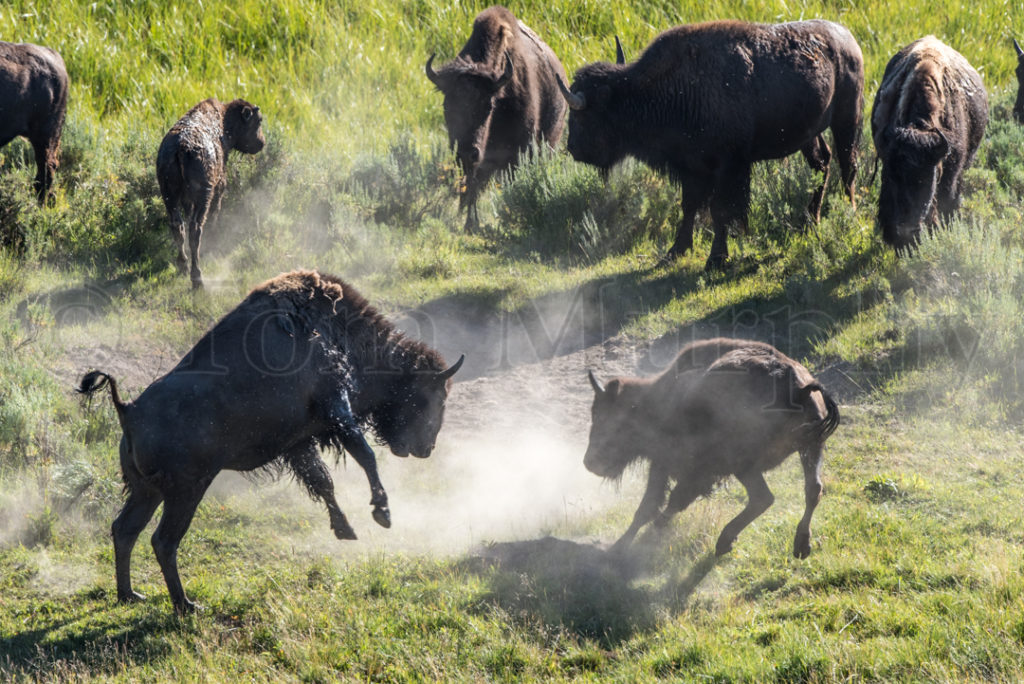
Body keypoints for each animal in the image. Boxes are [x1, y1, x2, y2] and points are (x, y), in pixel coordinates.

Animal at [78, 269, 464, 613]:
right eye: (433, 397)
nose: (426, 448)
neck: (338, 331)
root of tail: (128, 410)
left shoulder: (299, 442)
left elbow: (323, 482)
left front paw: (345, 529)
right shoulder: (336, 408)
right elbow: (364, 455)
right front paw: (381, 513)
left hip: (148, 492)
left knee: (124, 530)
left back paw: (131, 595)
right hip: (186, 491)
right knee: (163, 540)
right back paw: (186, 605)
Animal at [156, 98, 265, 289]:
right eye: (258, 121)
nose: (262, 143)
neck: (224, 121)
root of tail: (181, 147)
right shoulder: (219, 185)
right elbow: (215, 211)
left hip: (169, 195)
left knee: (178, 226)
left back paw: (183, 266)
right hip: (202, 195)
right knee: (195, 229)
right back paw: (197, 278)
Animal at [425, 5, 567, 232]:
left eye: (489, 106)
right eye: (447, 106)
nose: (467, 152)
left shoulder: (520, 152)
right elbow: (471, 184)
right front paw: (469, 223)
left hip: (548, 144)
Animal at [557, 20, 864, 270]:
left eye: (583, 115)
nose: (573, 147)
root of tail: (849, 39)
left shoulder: (727, 166)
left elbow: (720, 210)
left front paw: (715, 259)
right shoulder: (692, 168)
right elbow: (689, 205)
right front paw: (675, 251)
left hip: (847, 120)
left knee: (847, 168)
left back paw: (847, 214)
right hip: (810, 134)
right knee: (822, 163)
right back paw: (810, 221)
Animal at [584, 338, 839, 558]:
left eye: (607, 417)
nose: (589, 462)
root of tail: (797, 386)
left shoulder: (667, 464)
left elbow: (650, 505)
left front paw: (620, 547)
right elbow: (673, 501)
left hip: (745, 465)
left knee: (763, 497)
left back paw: (724, 542)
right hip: (811, 447)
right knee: (812, 489)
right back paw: (800, 545)